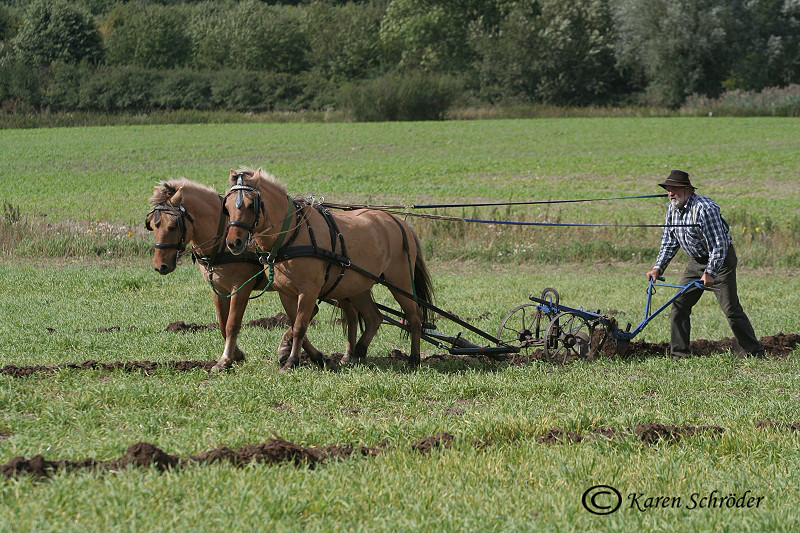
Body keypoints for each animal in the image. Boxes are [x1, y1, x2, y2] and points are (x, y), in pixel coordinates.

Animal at [145, 179, 374, 372]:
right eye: (153, 225)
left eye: (173, 226)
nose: (160, 266)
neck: (222, 240)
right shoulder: (218, 289)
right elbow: (222, 323)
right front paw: (237, 354)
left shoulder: (241, 288)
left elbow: (232, 323)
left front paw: (225, 360)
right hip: (344, 287)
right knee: (352, 315)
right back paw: (341, 354)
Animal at [223, 168, 434, 370]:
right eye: (227, 206)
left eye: (251, 204)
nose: (234, 243)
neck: (291, 234)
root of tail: (400, 223)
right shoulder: (286, 292)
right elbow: (295, 322)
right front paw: (295, 354)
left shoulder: (308, 290)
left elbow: (300, 326)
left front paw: (291, 361)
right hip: (359, 286)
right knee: (374, 317)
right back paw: (357, 353)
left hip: (400, 281)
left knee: (415, 316)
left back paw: (414, 359)